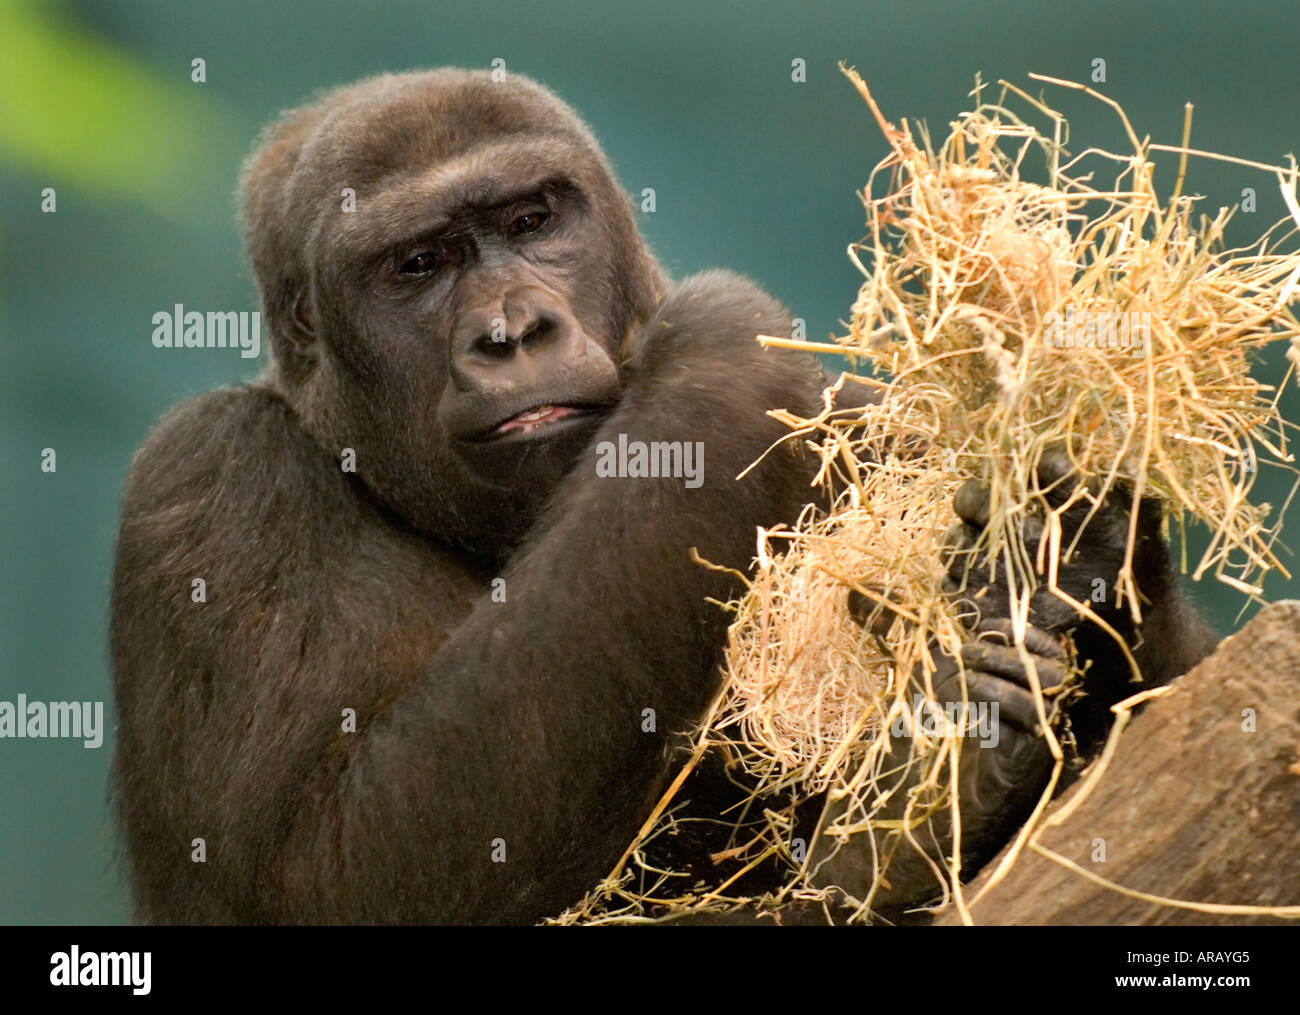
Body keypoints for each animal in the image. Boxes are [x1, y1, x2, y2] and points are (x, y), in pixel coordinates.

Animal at [109, 69, 1215, 925]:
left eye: (532, 221)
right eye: (417, 265)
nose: (513, 331)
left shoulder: (860, 418)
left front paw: (1095, 535)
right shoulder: (206, 474)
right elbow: (325, 869)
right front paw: (713, 372)